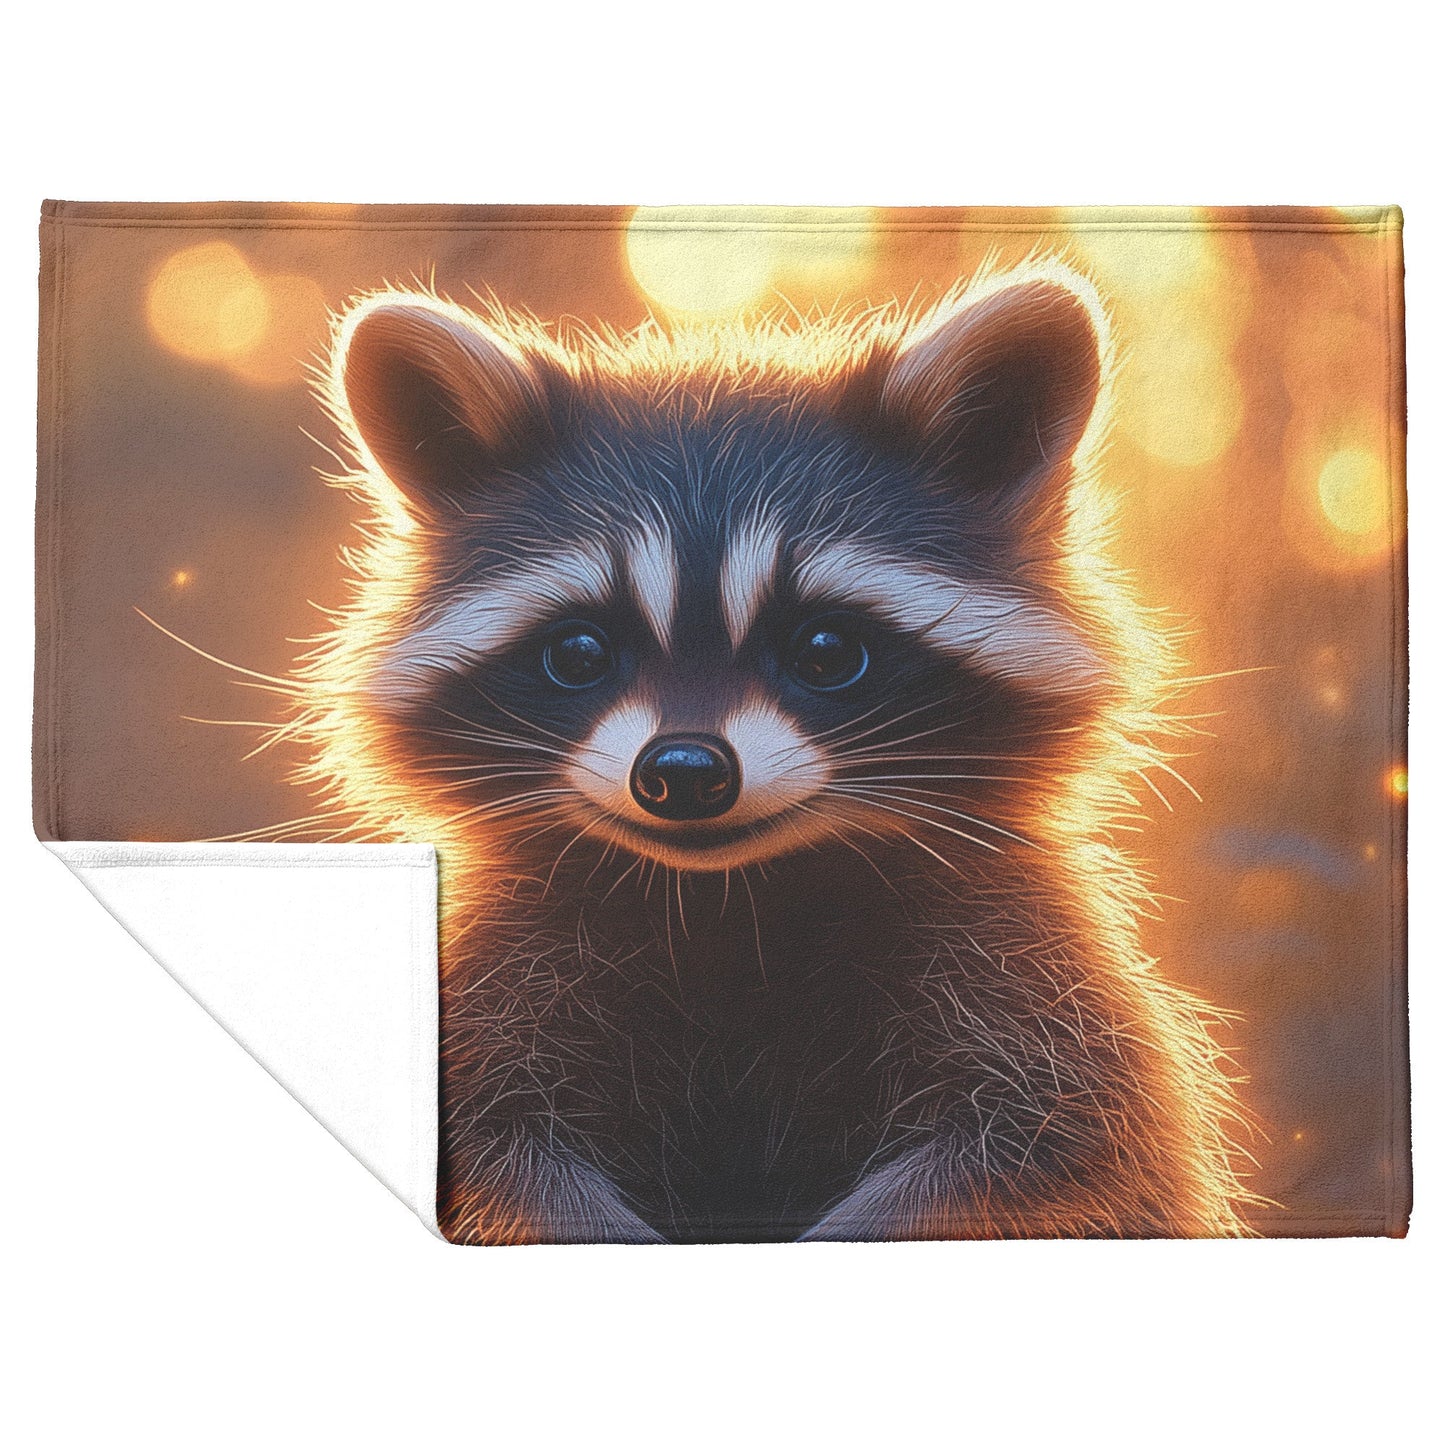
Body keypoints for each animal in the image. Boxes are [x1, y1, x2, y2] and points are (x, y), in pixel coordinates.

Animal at [297, 259, 1252, 1242]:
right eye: (580, 653)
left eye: (824, 651)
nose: (683, 772)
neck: (725, 897)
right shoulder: (501, 979)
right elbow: (498, 1159)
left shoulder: (1030, 970)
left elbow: (1061, 1151)